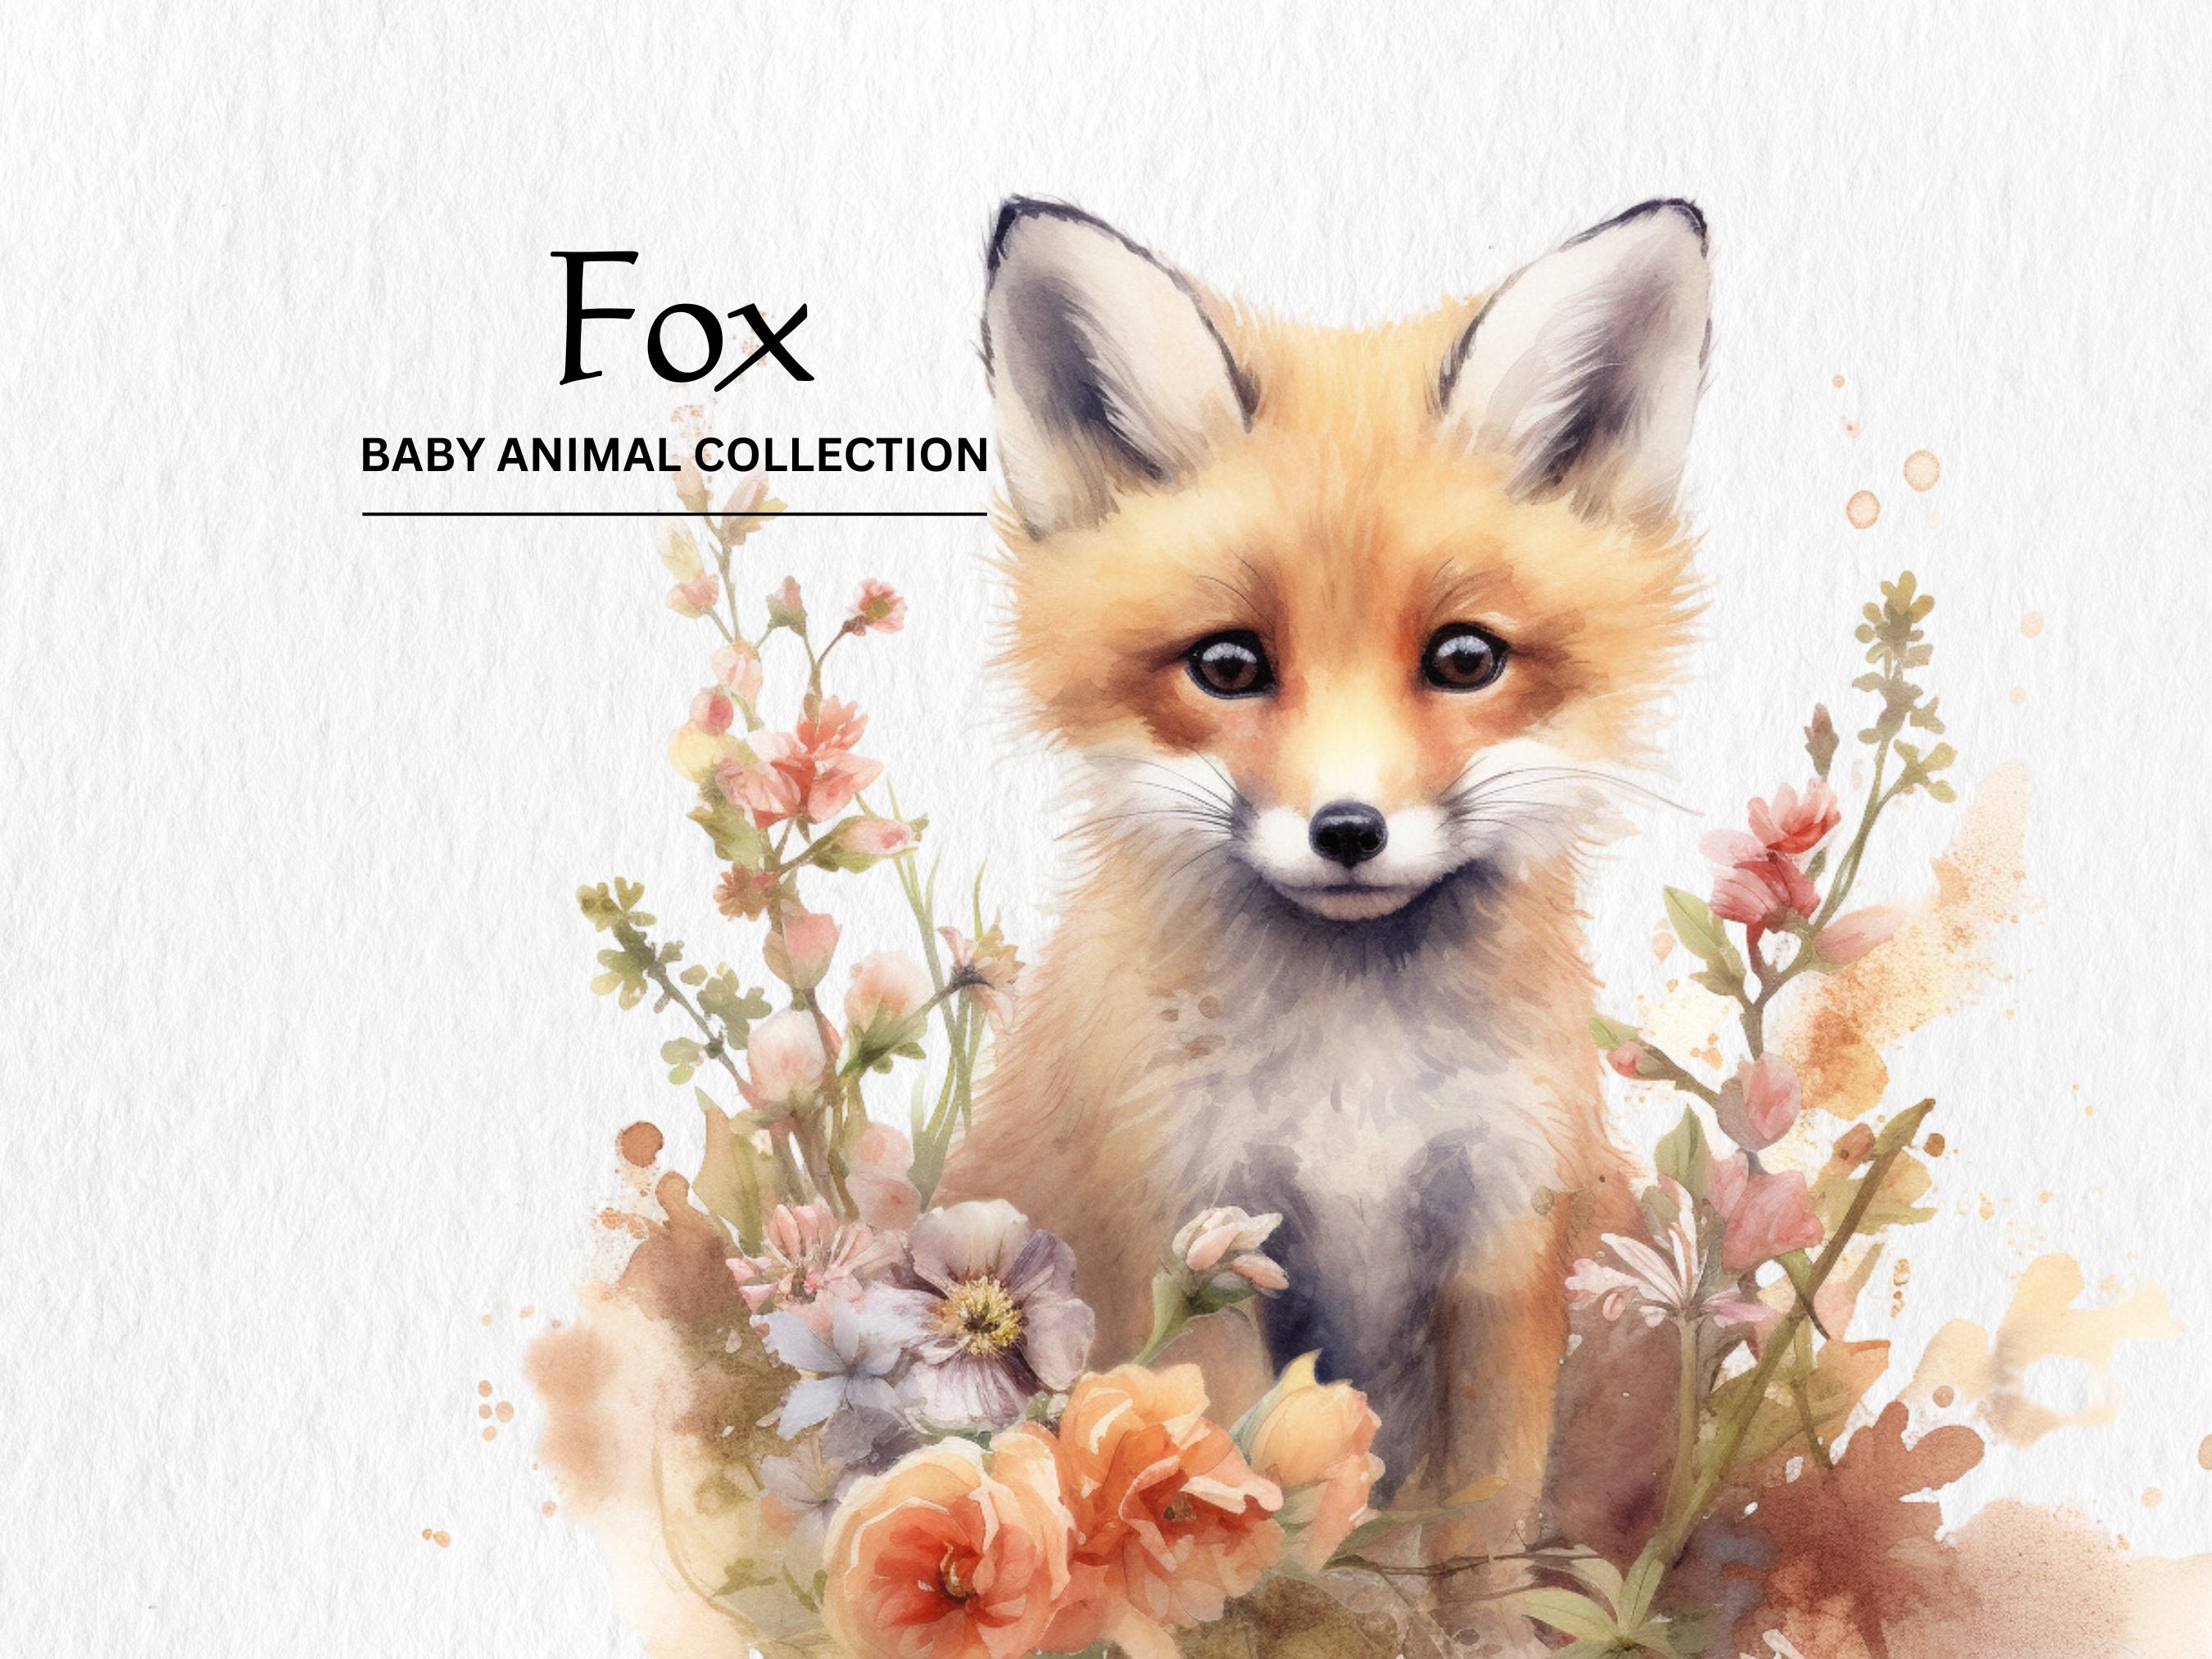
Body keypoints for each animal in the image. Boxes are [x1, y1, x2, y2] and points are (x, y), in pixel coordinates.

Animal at [943, 196, 1709, 1581]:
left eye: (1464, 658)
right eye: (1228, 665)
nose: (1349, 830)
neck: (1358, 1089)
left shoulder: (1500, 1246)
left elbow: (1480, 1534)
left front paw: (1481, 1618)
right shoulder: (1191, 1235)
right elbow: (1242, 1513)